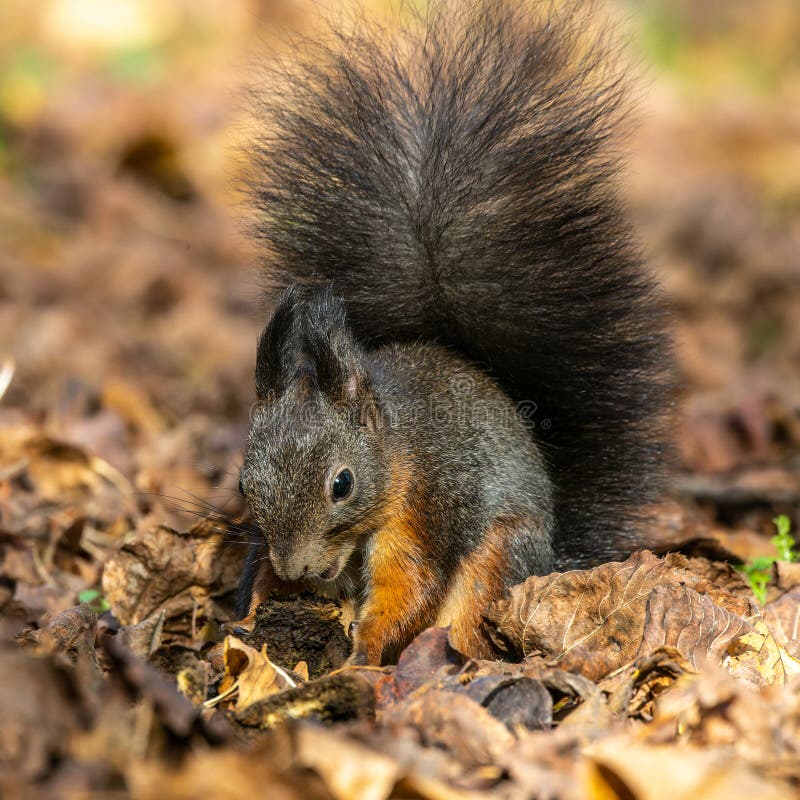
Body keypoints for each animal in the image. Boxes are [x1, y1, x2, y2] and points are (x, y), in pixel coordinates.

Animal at [235, 0, 672, 665]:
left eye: (343, 483)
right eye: (242, 481)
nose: (297, 570)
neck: (393, 449)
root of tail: (554, 556)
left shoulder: (426, 507)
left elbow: (410, 586)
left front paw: (362, 652)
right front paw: (252, 614)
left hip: (498, 559)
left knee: (469, 618)